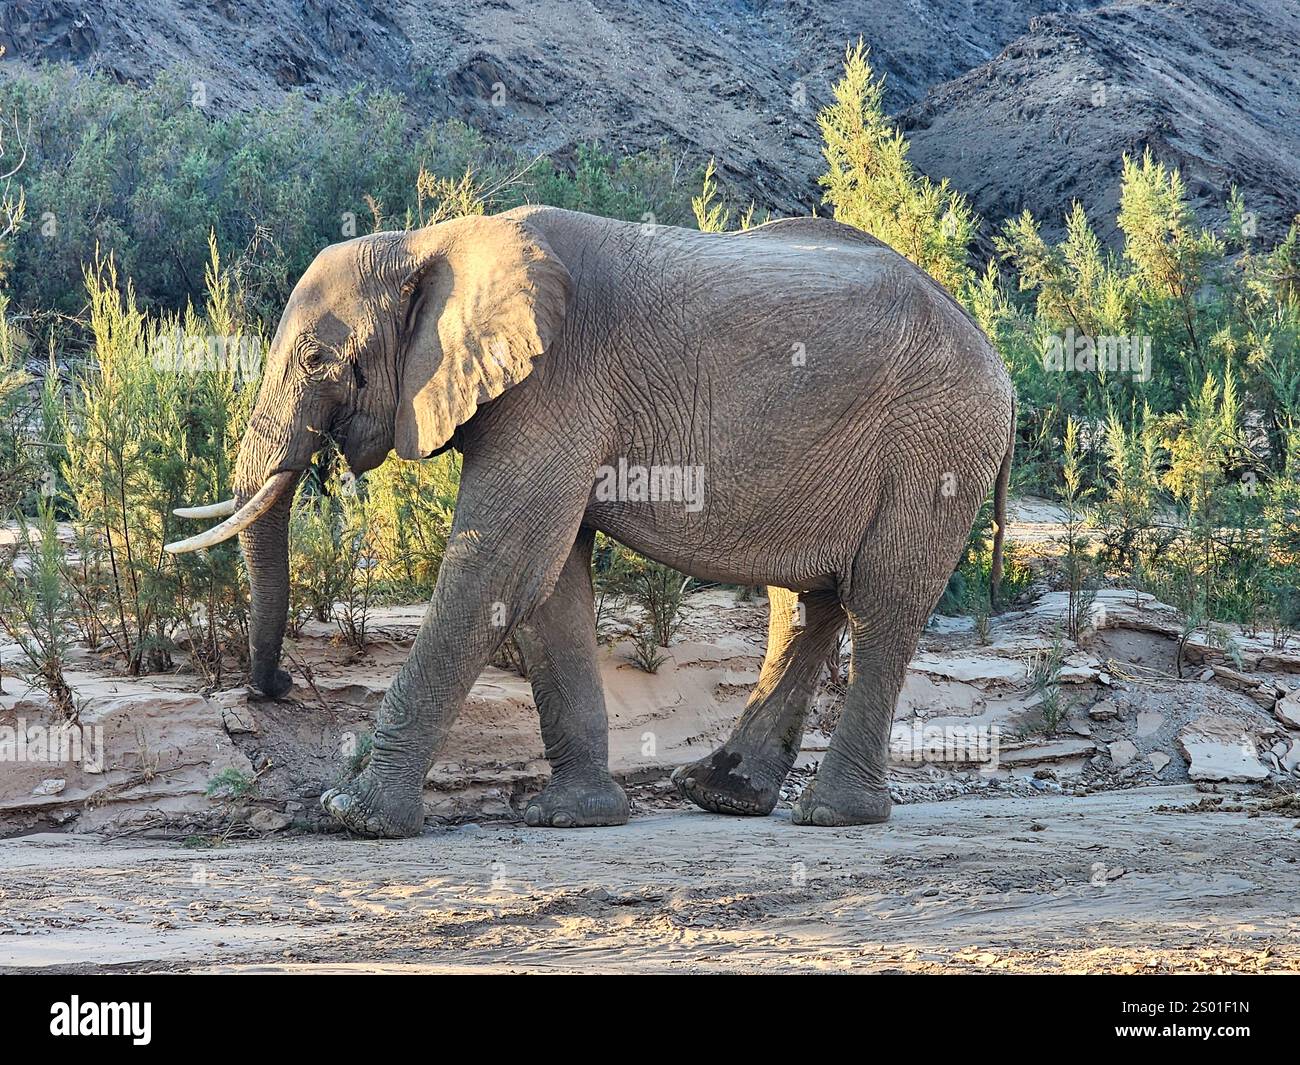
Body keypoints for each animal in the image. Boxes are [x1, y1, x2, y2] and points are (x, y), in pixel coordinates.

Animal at [167, 205, 1015, 836]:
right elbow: (549, 584)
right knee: (808, 603)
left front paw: (353, 814)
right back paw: (720, 794)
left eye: (316, 358)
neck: (431, 240)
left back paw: (832, 815)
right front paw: (575, 816)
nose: (275, 685)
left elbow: (502, 564)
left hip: (936, 442)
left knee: (882, 602)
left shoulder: (556, 382)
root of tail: (993, 352)